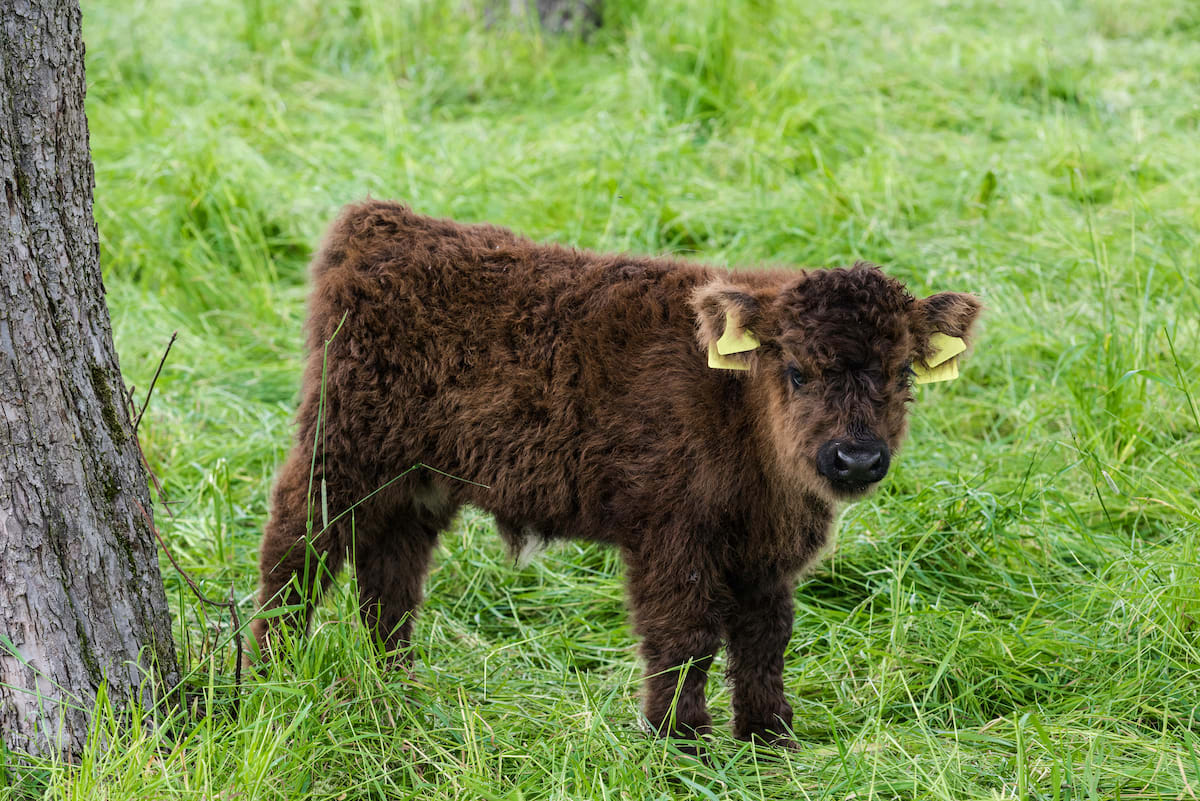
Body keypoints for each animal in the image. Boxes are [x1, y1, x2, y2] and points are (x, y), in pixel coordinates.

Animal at [252, 200, 981, 748]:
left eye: (903, 372)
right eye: (797, 370)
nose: (855, 458)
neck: (737, 405)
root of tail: (382, 224)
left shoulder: (763, 556)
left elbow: (764, 639)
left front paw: (770, 740)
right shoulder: (672, 541)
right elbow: (684, 639)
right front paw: (680, 742)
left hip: (414, 486)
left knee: (390, 581)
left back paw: (396, 686)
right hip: (339, 456)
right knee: (296, 549)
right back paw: (268, 672)